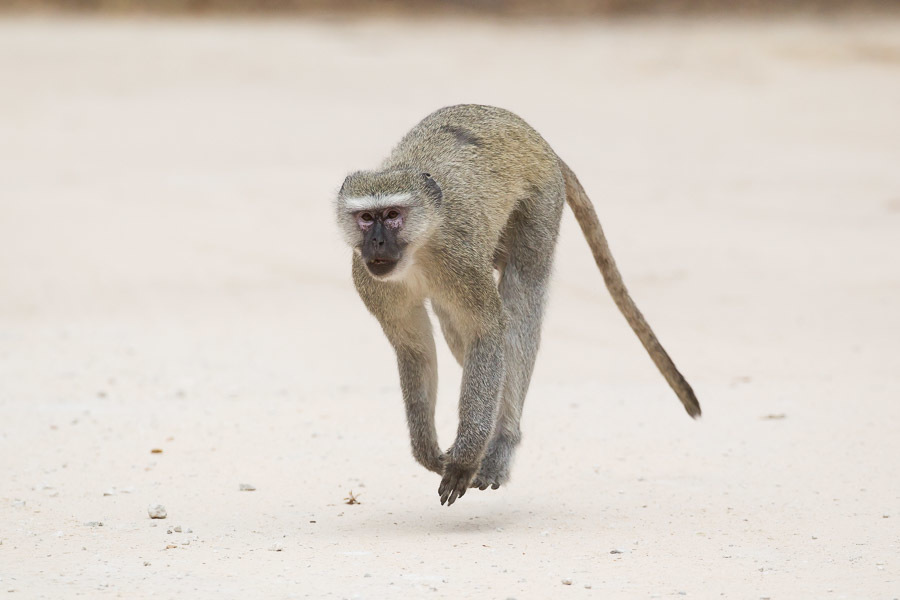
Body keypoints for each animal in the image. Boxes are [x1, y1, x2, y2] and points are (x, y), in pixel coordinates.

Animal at [334, 105, 700, 506]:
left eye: (392, 215)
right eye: (366, 218)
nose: (377, 243)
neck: (418, 249)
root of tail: (531, 133)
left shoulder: (461, 261)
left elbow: (489, 332)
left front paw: (464, 458)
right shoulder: (369, 278)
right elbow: (414, 348)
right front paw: (427, 449)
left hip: (542, 198)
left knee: (520, 296)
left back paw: (502, 441)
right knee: (457, 325)